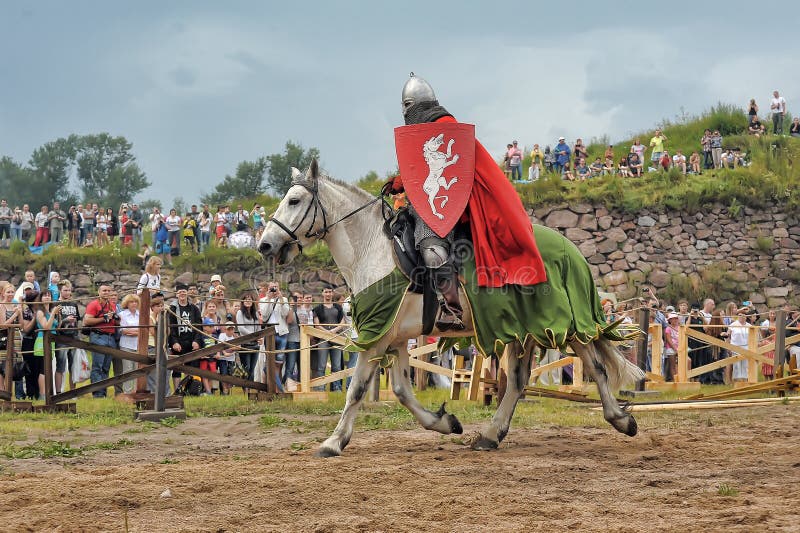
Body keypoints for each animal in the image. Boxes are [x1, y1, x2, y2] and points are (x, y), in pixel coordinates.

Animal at [258, 160, 643, 457]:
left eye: (294, 200)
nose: (264, 245)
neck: (373, 249)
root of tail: (573, 249)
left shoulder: (376, 339)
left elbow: (355, 390)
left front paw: (334, 441)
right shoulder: (397, 337)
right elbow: (402, 391)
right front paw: (444, 422)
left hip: (563, 323)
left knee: (594, 364)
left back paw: (621, 419)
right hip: (523, 329)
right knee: (519, 382)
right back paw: (490, 435)